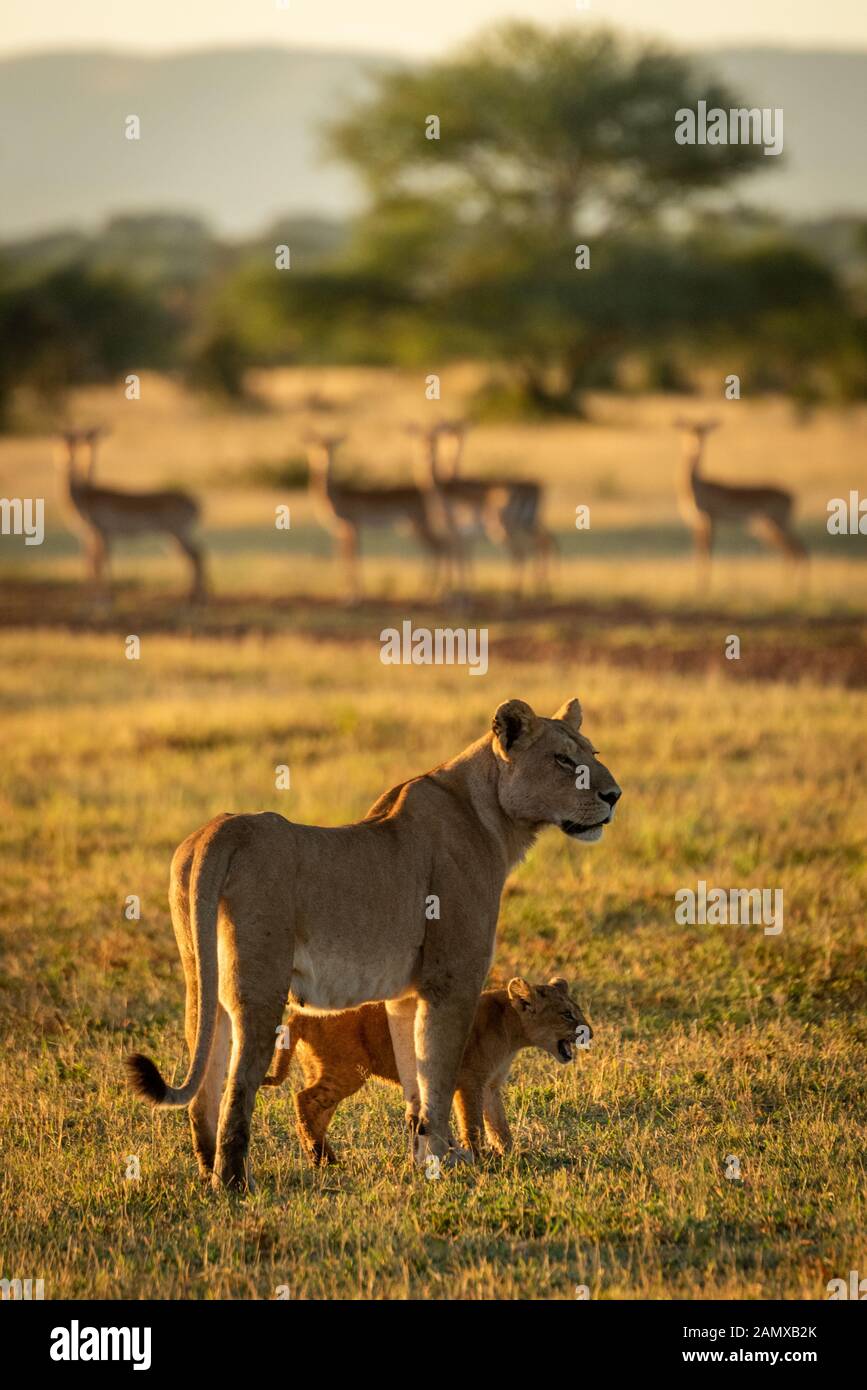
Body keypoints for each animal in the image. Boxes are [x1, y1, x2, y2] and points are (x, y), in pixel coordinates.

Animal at [56, 428, 207, 601]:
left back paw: (195, 597)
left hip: (177, 533)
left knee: (196, 556)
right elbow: (96, 560)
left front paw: (103, 597)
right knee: (196, 555)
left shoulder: (100, 532)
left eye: (73, 444)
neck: (85, 496)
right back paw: (194, 596)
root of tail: (196, 503)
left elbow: (98, 561)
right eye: (63, 443)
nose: (66, 462)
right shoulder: (97, 534)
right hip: (173, 536)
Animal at [305, 433, 457, 603]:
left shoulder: (351, 525)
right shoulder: (343, 529)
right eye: (316, 446)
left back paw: (436, 592)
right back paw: (431, 591)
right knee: (438, 546)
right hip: (412, 526)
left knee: (440, 545)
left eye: (331, 447)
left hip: (419, 523)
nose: (324, 460)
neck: (334, 495)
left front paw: (353, 595)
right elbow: (345, 554)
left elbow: (351, 555)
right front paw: (348, 592)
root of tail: (425, 491)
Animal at [676, 419, 807, 580]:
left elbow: (706, 552)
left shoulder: (709, 518)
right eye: (688, 430)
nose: (695, 444)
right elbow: (700, 551)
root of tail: (792, 495)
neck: (695, 486)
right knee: (793, 551)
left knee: (797, 551)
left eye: (702, 431)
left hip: (776, 524)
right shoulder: (697, 521)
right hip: (769, 527)